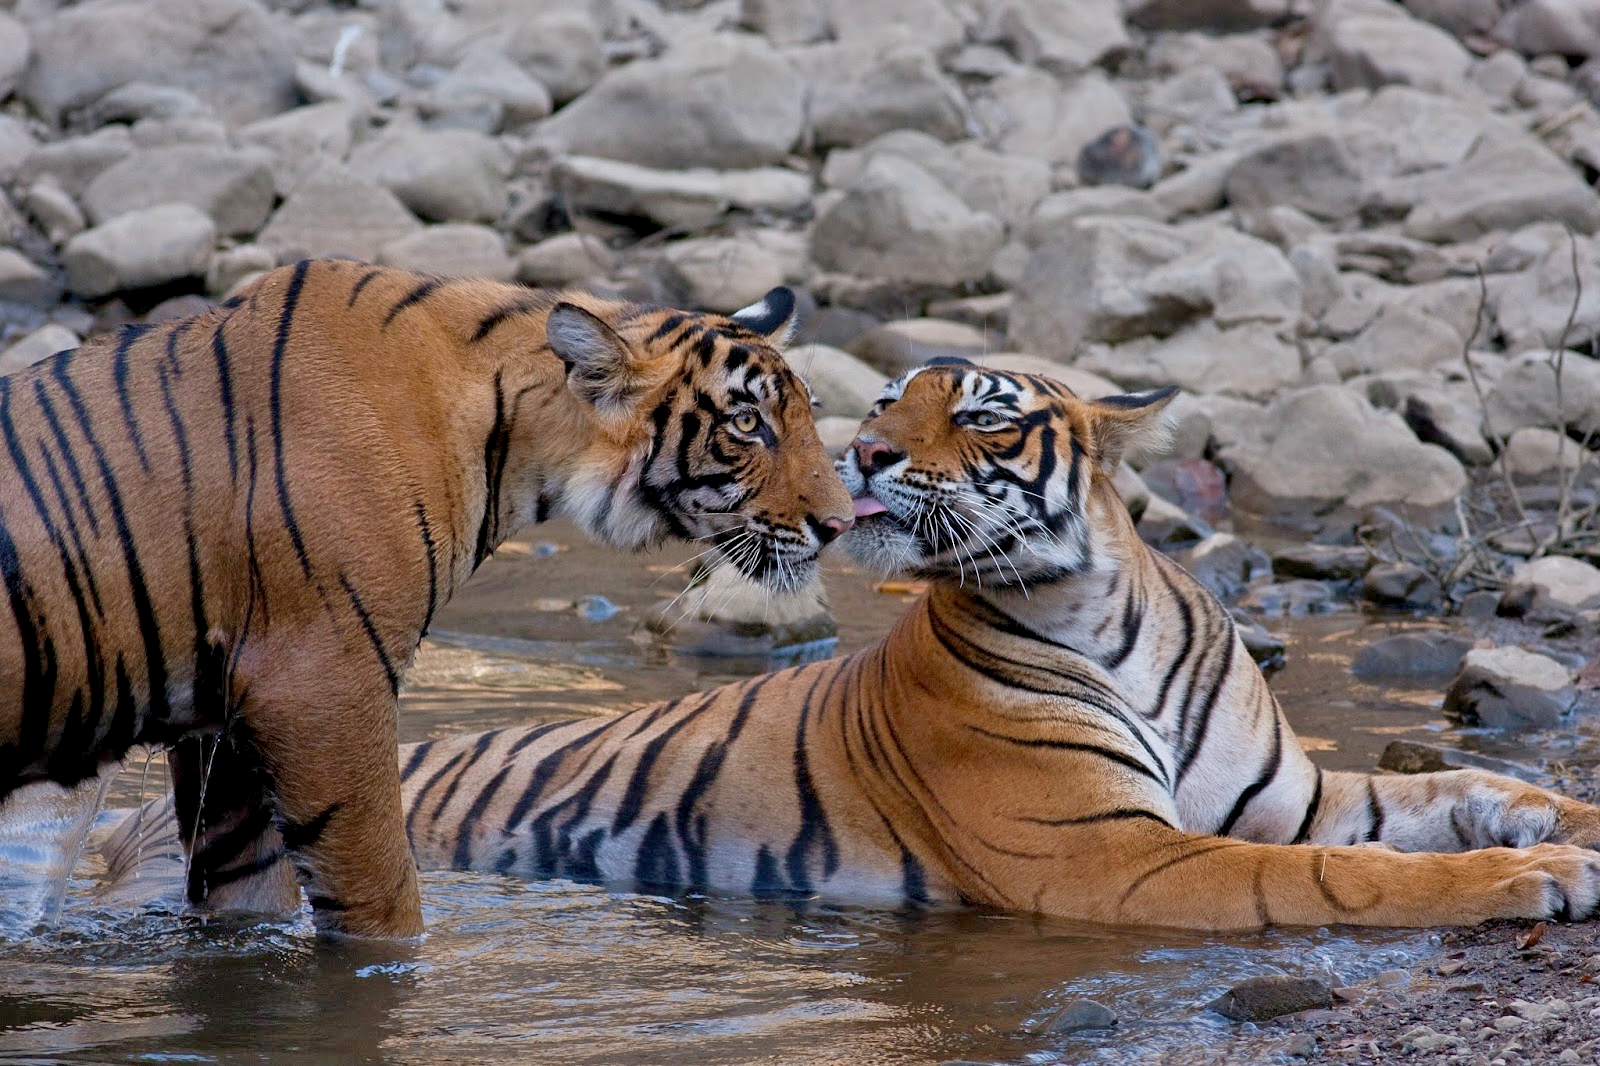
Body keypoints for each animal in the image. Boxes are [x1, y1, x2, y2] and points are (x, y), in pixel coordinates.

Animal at [0, 259, 853, 938]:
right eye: (747, 423)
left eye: (805, 413)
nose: (842, 523)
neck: (513, 444)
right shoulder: (324, 688)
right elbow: (380, 893)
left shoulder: (222, 730)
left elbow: (247, 891)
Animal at [99, 360, 1600, 931]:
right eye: (887, 398)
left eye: (978, 413)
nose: (868, 454)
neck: (1097, 609)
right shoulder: (1113, 854)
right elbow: (1350, 877)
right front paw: (1532, 878)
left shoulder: (1287, 793)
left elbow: (1461, 788)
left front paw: (1563, 824)